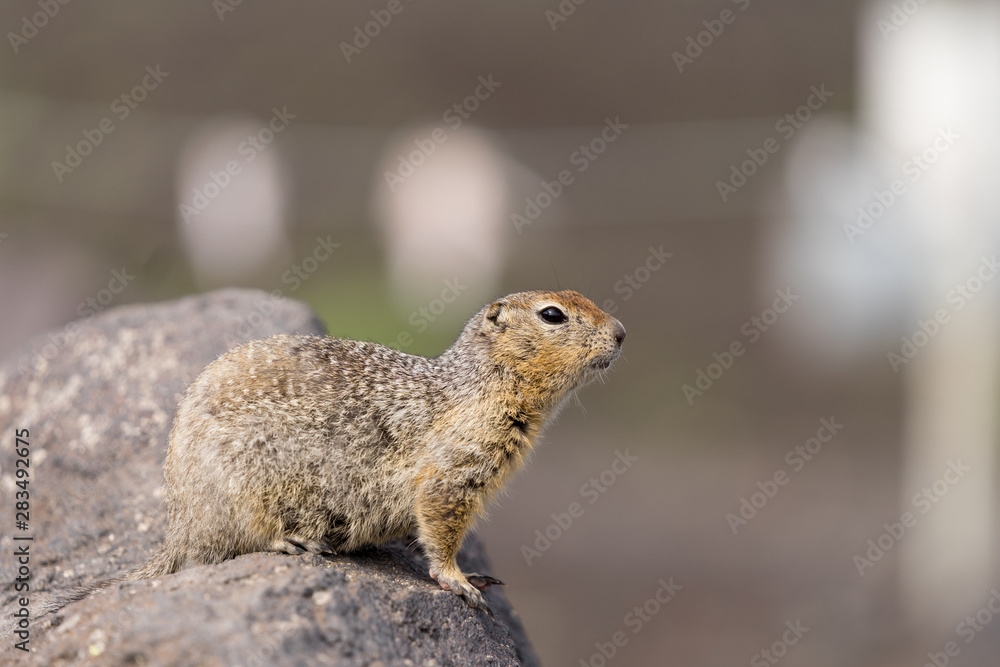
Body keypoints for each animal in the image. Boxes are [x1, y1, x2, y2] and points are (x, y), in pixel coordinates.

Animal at [44, 289, 625, 614]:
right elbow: (440, 521)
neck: (482, 384)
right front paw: (459, 579)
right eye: (553, 315)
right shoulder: (455, 467)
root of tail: (179, 525)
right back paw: (293, 542)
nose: (622, 332)